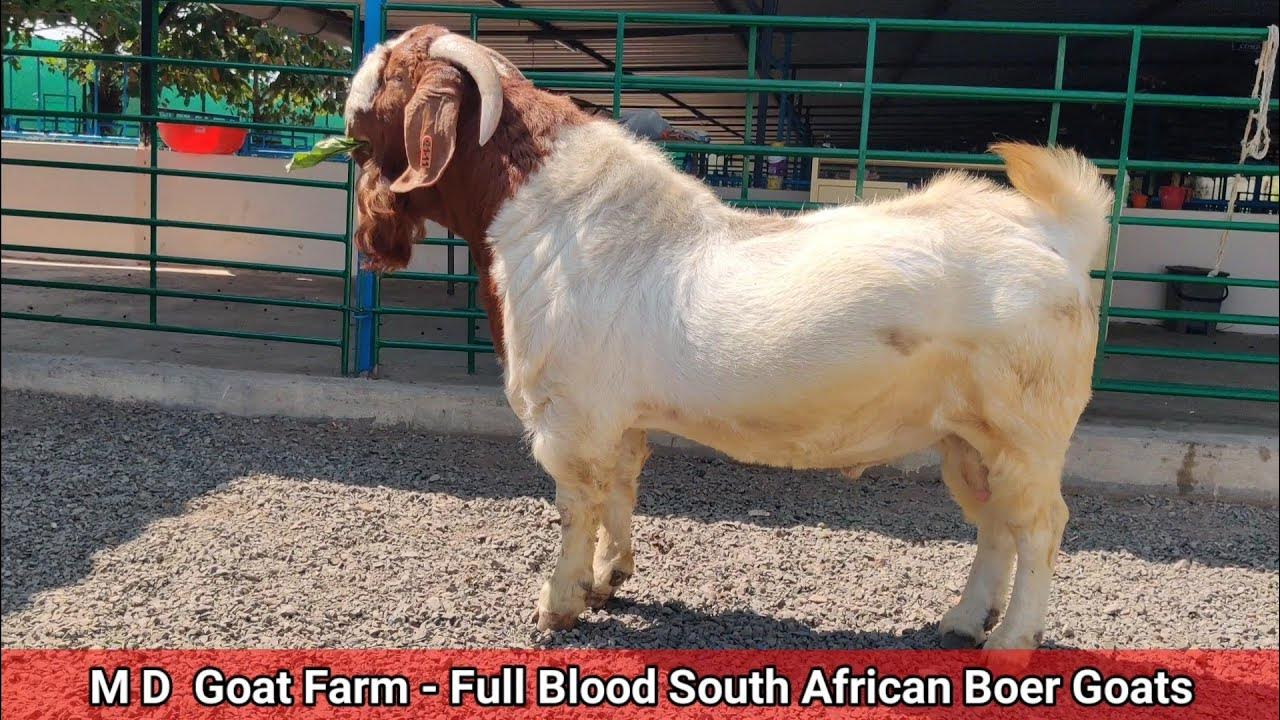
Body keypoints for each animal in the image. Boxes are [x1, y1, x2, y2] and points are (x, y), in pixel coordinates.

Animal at [344, 25, 1112, 650]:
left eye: (391, 72)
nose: (350, 99)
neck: (542, 216)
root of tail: (1058, 234)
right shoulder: (620, 418)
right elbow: (621, 488)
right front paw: (611, 578)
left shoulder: (570, 416)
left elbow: (576, 504)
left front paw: (558, 605)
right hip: (967, 438)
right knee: (995, 524)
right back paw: (963, 621)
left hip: (1027, 430)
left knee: (1041, 525)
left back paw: (1010, 642)